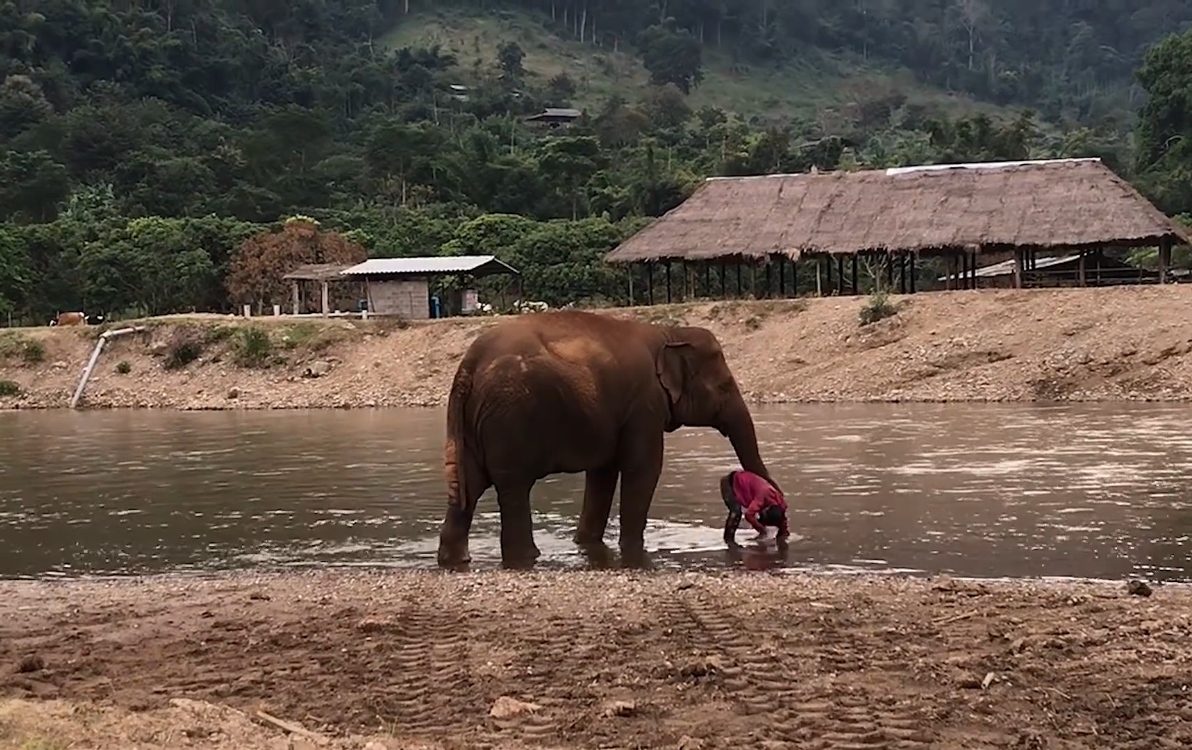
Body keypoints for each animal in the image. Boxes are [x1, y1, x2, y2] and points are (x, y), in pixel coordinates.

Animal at [436, 309, 780, 567]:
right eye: (723, 387)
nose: (771, 516)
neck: (667, 334)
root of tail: (468, 365)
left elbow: (602, 474)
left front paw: (587, 544)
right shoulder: (644, 404)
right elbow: (643, 469)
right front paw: (632, 550)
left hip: (473, 426)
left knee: (467, 489)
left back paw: (455, 561)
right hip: (509, 419)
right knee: (514, 488)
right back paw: (527, 556)